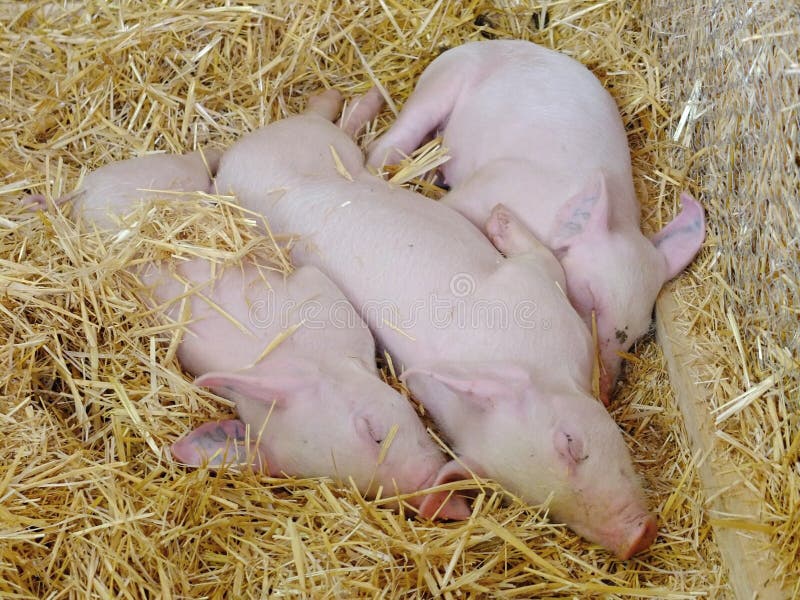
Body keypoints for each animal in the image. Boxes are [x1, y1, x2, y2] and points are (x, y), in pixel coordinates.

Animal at [31, 150, 470, 519]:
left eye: (374, 432)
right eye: (363, 492)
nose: (434, 501)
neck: (306, 358)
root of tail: (82, 192)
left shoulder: (321, 294)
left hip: (164, 171)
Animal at [213, 87, 658, 558]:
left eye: (572, 445)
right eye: (541, 506)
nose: (637, 538)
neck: (532, 362)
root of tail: (237, 154)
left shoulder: (533, 287)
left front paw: (499, 216)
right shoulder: (532, 285)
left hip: (321, 146)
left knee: (341, 131)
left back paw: (351, 97)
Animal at [367, 40, 706, 404]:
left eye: (637, 335)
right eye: (588, 297)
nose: (603, 393)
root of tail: (484, 44)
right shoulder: (486, 186)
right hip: (442, 83)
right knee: (388, 143)